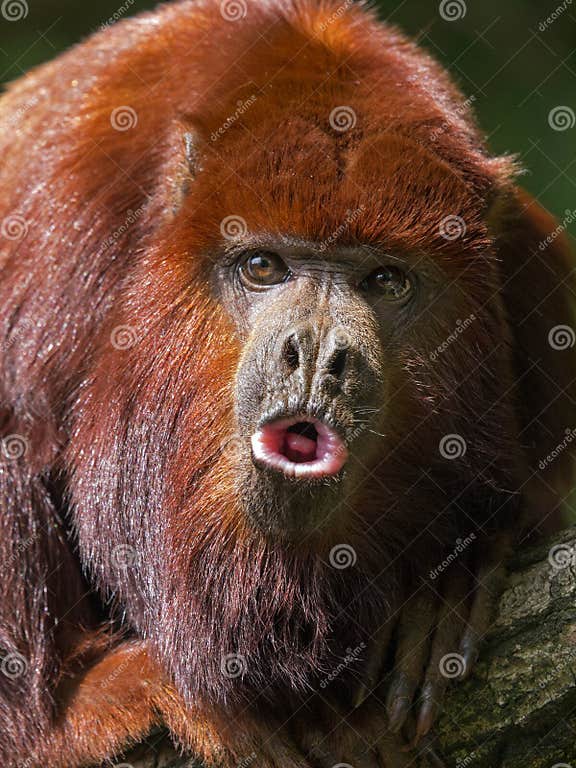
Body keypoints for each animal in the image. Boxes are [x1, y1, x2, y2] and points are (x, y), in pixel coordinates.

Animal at [0, 0, 574, 766]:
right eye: (262, 266)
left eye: (386, 279)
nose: (318, 352)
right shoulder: (65, 230)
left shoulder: (532, 269)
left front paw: (444, 583)